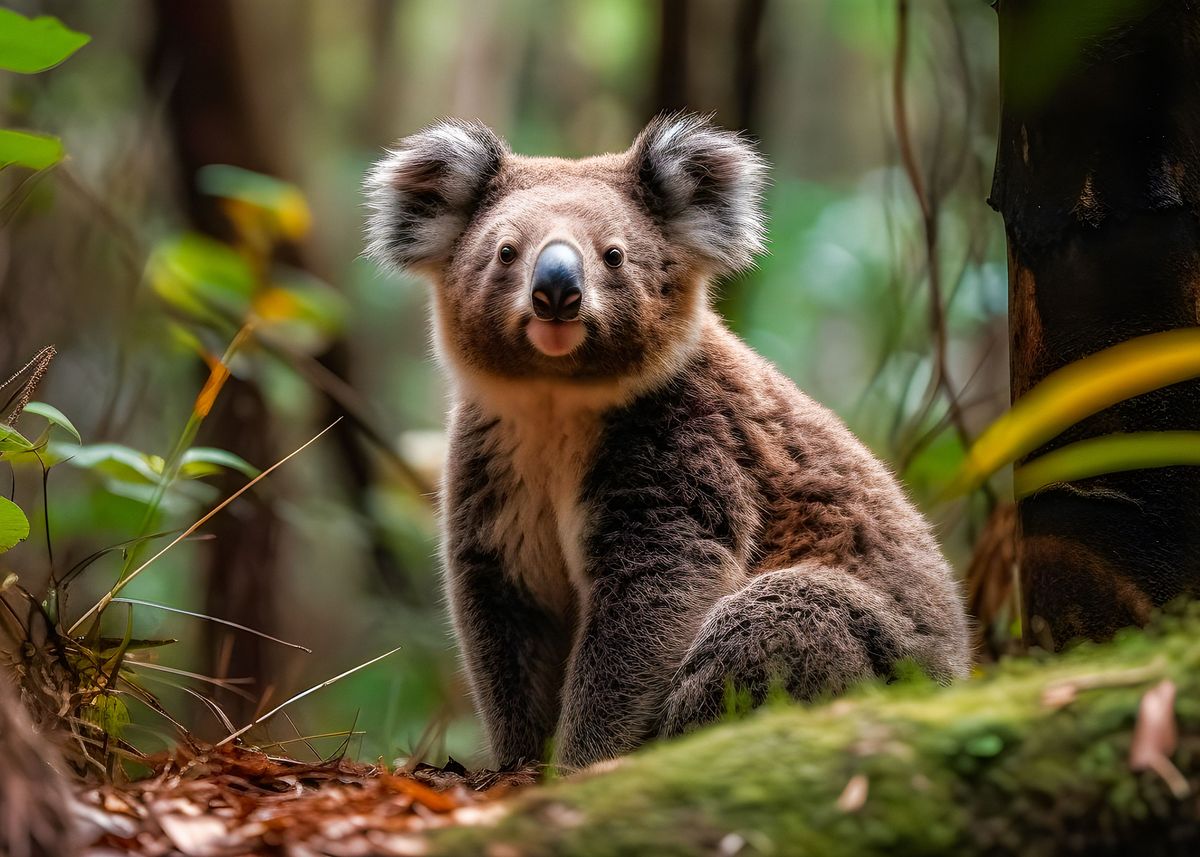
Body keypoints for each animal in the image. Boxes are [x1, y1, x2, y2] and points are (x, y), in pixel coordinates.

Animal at [365, 114, 970, 770]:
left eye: (614, 256)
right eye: (505, 252)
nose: (557, 291)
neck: (556, 404)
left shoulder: (687, 452)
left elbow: (651, 601)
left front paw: (581, 768)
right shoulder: (495, 471)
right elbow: (507, 613)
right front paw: (519, 764)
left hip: (881, 657)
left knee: (783, 618)